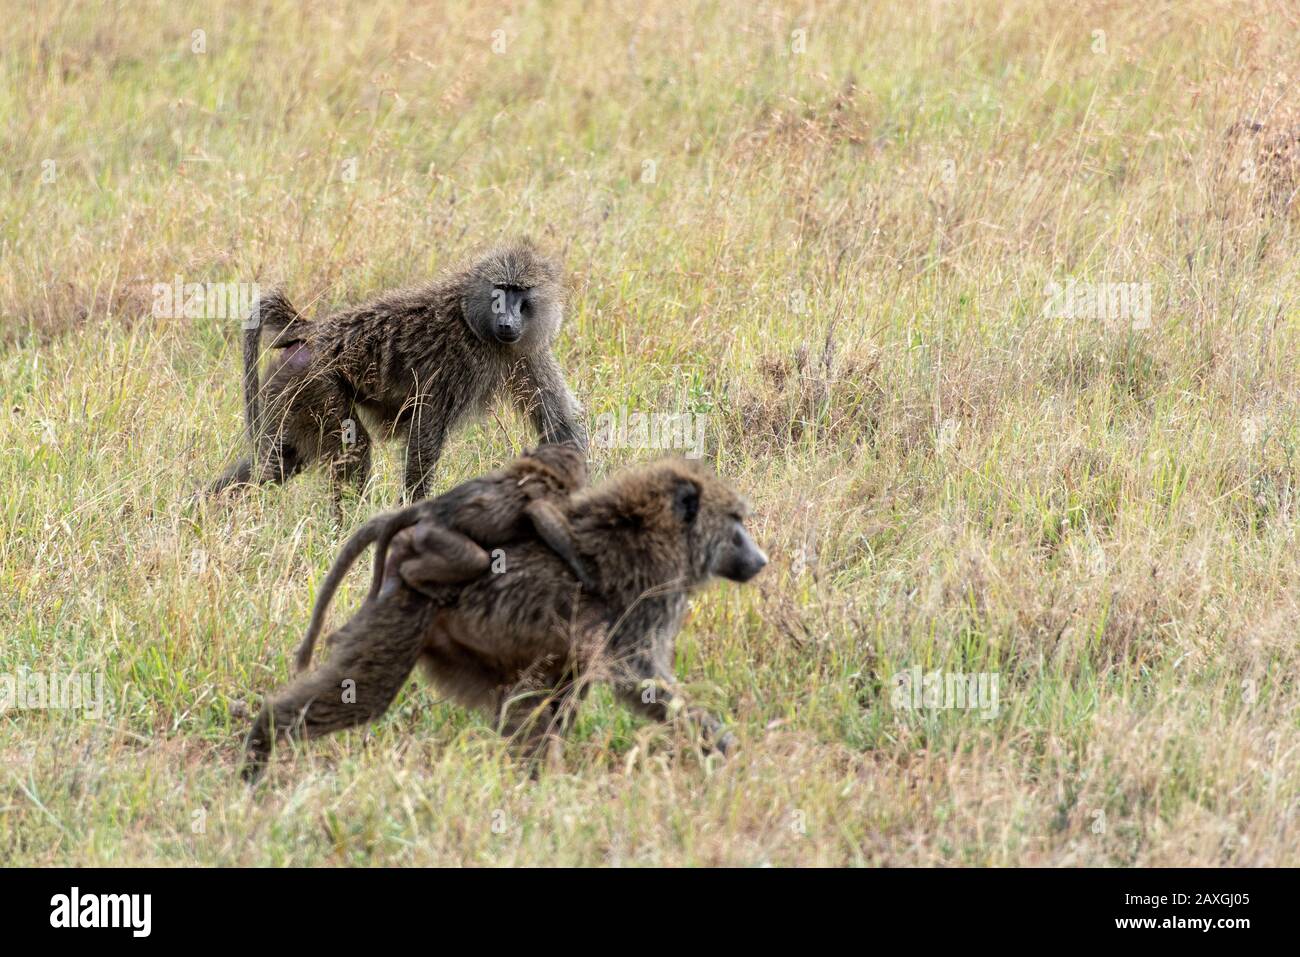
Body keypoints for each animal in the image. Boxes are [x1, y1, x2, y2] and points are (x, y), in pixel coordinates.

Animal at [209, 240, 588, 502]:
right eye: (500, 291)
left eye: (519, 292)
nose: (507, 321)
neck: (476, 323)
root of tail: (310, 330)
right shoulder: (455, 364)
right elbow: (424, 439)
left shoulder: (528, 353)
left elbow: (559, 427)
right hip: (316, 383)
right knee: (351, 452)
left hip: (290, 388)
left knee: (278, 462)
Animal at [292, 443, 595, 676]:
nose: (586, 467)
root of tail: (428, 509)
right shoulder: (546, 496)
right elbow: (539, 512)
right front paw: (581, 565)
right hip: (439, 537)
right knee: (472, 560)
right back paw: (418, 578)